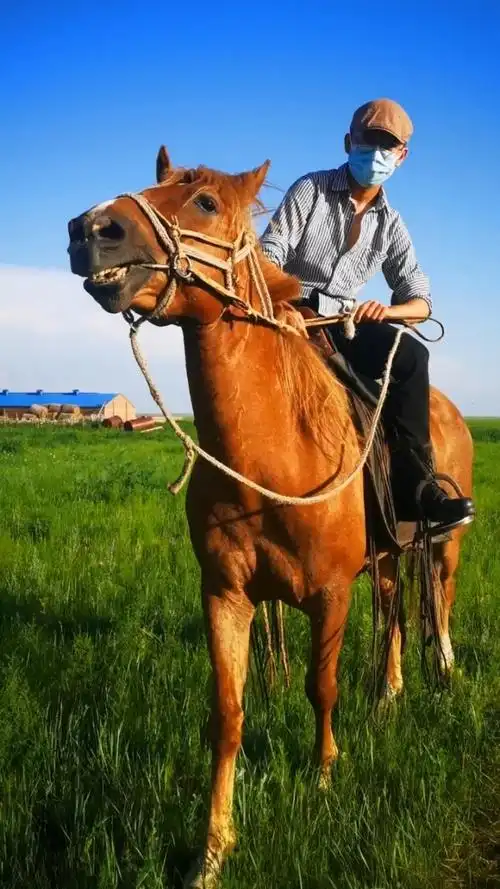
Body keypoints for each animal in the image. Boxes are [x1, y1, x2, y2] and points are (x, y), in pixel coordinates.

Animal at [67, 147, 473, 887]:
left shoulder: (332, 594)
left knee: (440, 605)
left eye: (203, 203)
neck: (272, 457)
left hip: (443, 547)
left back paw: (444, 674)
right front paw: (212, 849)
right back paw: (391, 693)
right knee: (398, 613)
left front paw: (323, 778)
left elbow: (322, 687)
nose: (91, 229)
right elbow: (227, 715)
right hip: (388, 557)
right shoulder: (225, 594)